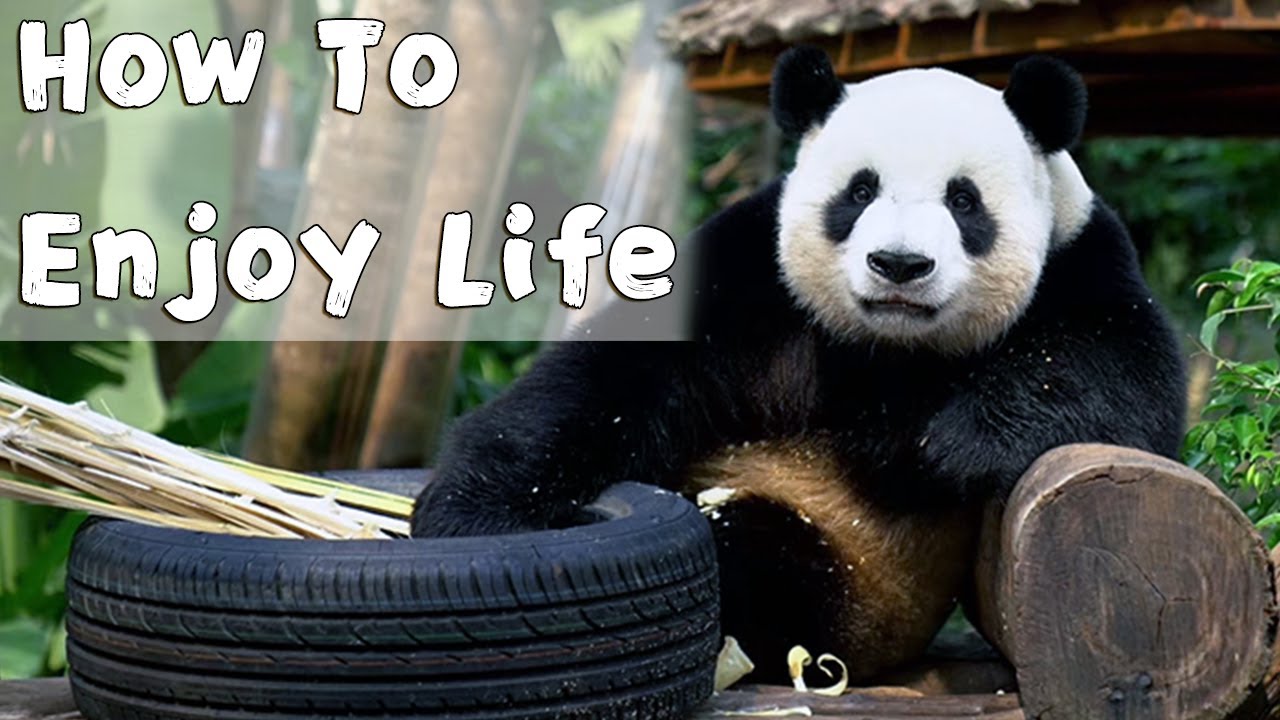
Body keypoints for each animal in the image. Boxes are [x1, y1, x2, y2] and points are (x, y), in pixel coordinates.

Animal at [411, 49, 1187, 684]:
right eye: (859, 192)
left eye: (964, 200)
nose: (899, 264)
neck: (889, 350)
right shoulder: (753, 271)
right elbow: (611, 378)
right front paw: (478, 513)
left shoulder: (1080, 255)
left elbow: (1123, 382)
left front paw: (947, 446)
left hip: (851, 584)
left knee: (751, 559)